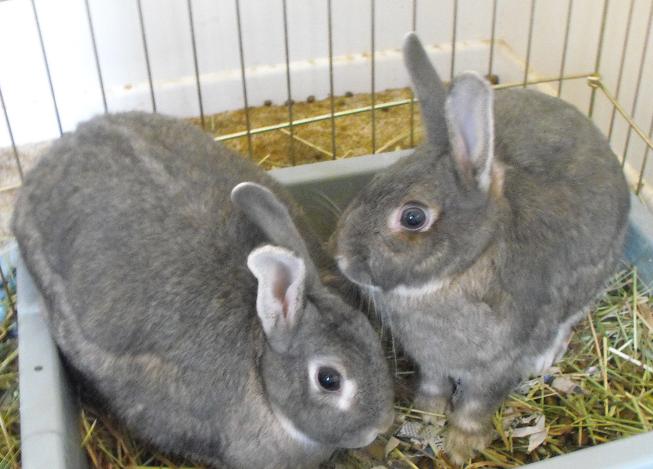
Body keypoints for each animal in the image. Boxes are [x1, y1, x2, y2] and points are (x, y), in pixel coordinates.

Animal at [334, 33, 630, 464]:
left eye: (412, 217)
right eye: (378, 179)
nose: (343, 259)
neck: (459, 272)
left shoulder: (497, 366)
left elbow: (475, 406)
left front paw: (461, 447)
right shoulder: (432, 361)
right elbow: (434, 387)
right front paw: (427, 414)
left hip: (591, 281)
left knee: (567, 321)